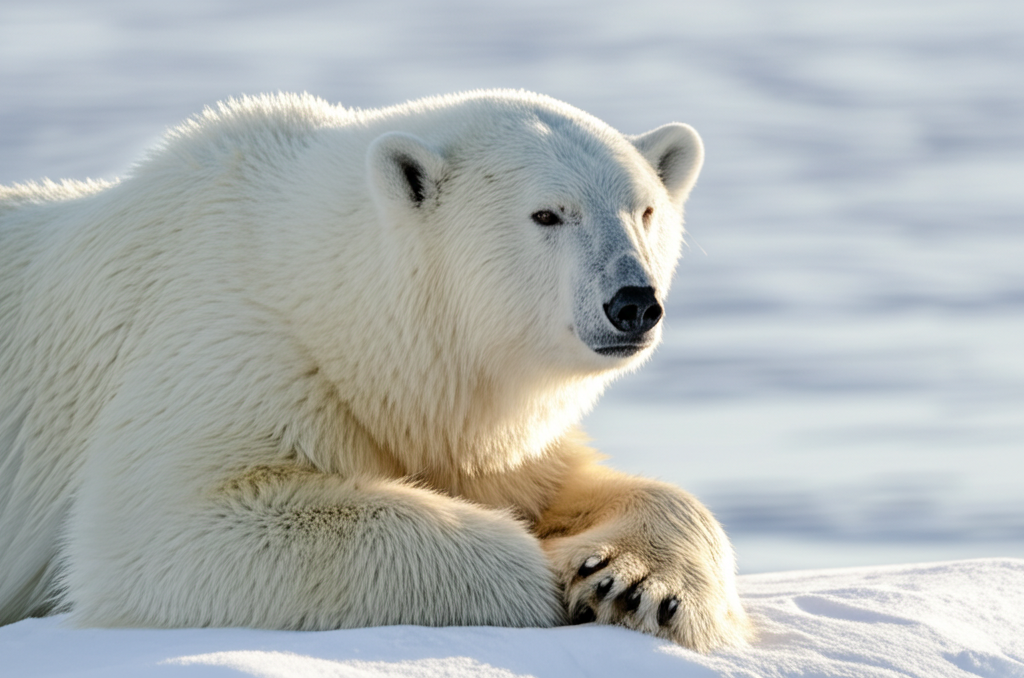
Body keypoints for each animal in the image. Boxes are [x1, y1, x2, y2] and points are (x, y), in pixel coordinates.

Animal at [0, 90, 750, 651]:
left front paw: (632, 582)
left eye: (644, 210)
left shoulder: (483, 431)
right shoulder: (226, 343)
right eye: (547, 213)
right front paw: (547, 571)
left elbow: (584, 483)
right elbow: (160, 528)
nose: (633, 302)